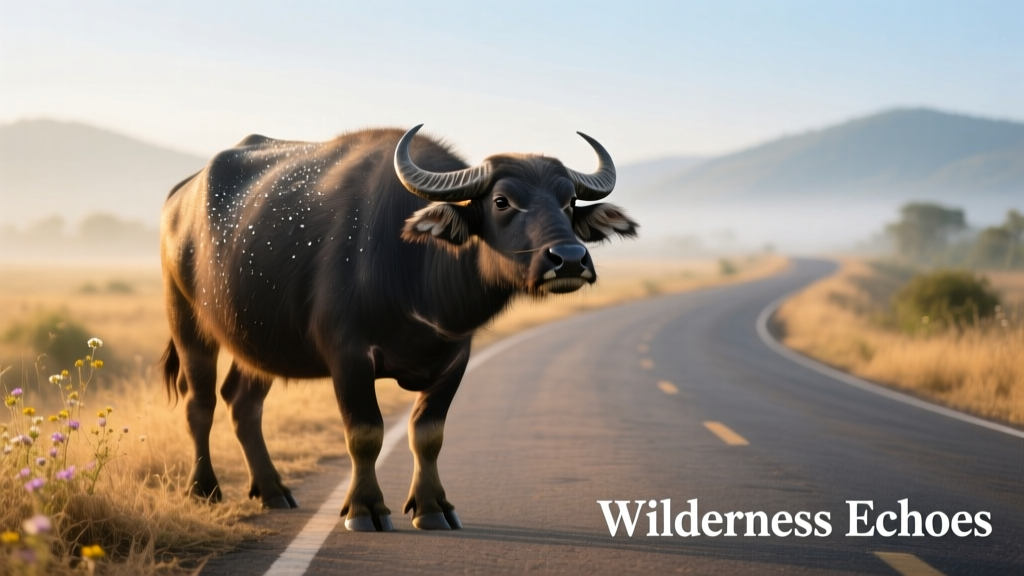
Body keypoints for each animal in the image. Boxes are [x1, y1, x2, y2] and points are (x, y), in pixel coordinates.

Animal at [160, 125, 637, 531]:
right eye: (502, 201)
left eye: (569, 202)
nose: (570, 259)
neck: (417, 276)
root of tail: (180, 196)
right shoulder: (349, 359)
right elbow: (365, 434)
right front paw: (365, 510)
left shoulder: (454, 359)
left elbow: (427, 435)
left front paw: (432, 508)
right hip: (187, 321)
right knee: (200, 403)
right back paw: (204, 489)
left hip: (259, 342)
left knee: (242, 402)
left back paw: (273, 490)